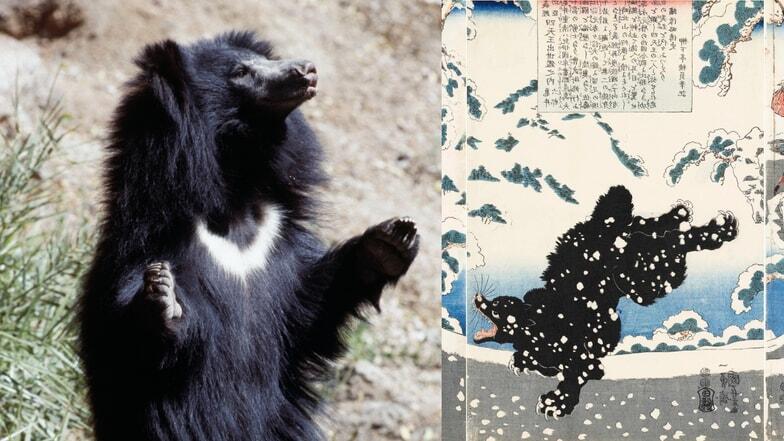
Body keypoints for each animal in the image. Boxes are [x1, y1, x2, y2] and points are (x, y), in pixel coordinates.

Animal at [77, 31, 419, 441]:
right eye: (240, 72)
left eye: (266, 61)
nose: (306, 69)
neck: (233, 203)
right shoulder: (146, 245)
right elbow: (129, 335)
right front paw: (163, 296)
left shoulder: (279, 245)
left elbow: (313, 306)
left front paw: (391, 241)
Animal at [472, 185, 738, 418]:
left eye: (498, 307)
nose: (478, 297)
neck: (540, 326)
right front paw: (521, 361)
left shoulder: (585, 360)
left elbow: (574, 377)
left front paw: (555, 403)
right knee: (648, 224)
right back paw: (680, 213)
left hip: (641, 280)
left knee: (676, 242)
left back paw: (718, 230)